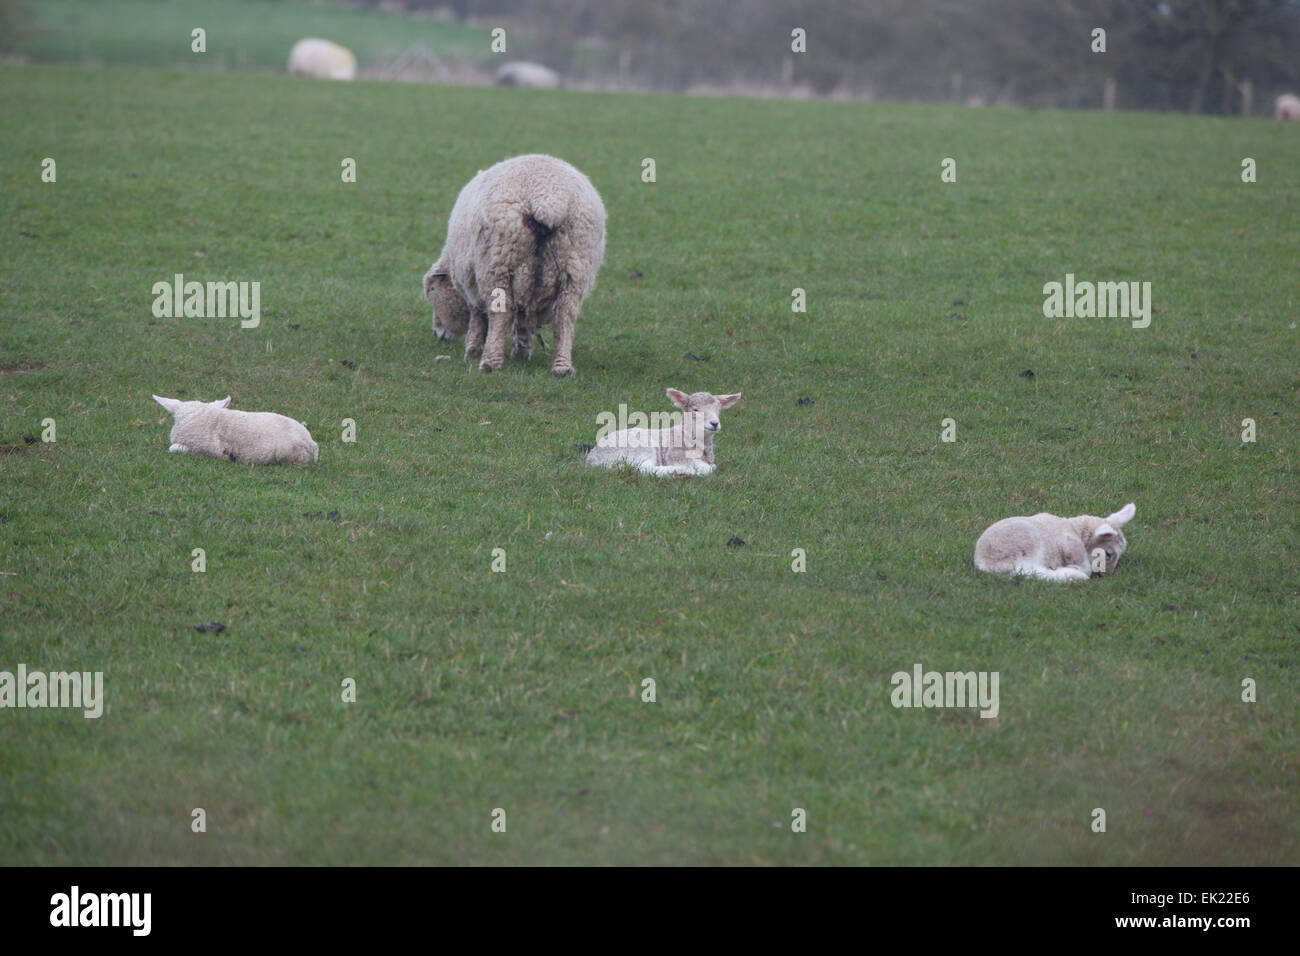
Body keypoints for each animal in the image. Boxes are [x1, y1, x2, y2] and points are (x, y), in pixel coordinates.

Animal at [423, 154, 606, 377]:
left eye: (432, 291)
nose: (437, 332)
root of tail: (547, 198)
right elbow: (523, 322)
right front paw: (521, 352)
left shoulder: (471, 283)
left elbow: (478, 318)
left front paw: (472, 351)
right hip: (575, 267)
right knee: (565, 317)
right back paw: (562, 368)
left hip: (497, 265)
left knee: (500, 314)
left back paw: (489, 363)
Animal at [586, 389, 741, 476]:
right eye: (695, 409)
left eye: (718, 410)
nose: (715, 423)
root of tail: (592, 460)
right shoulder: (675, 455)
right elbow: (708, 468)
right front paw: (694, 469)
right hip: (641, 447)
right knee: (644, 469)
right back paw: (681, 471)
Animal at [973, 503, 1135, 582]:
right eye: (1108, 554)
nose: (1108, 574)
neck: (1076, 529)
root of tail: (983, 562)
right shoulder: (1070, 544)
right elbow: (1085, 568)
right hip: (1027, 544)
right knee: (1029, 571)